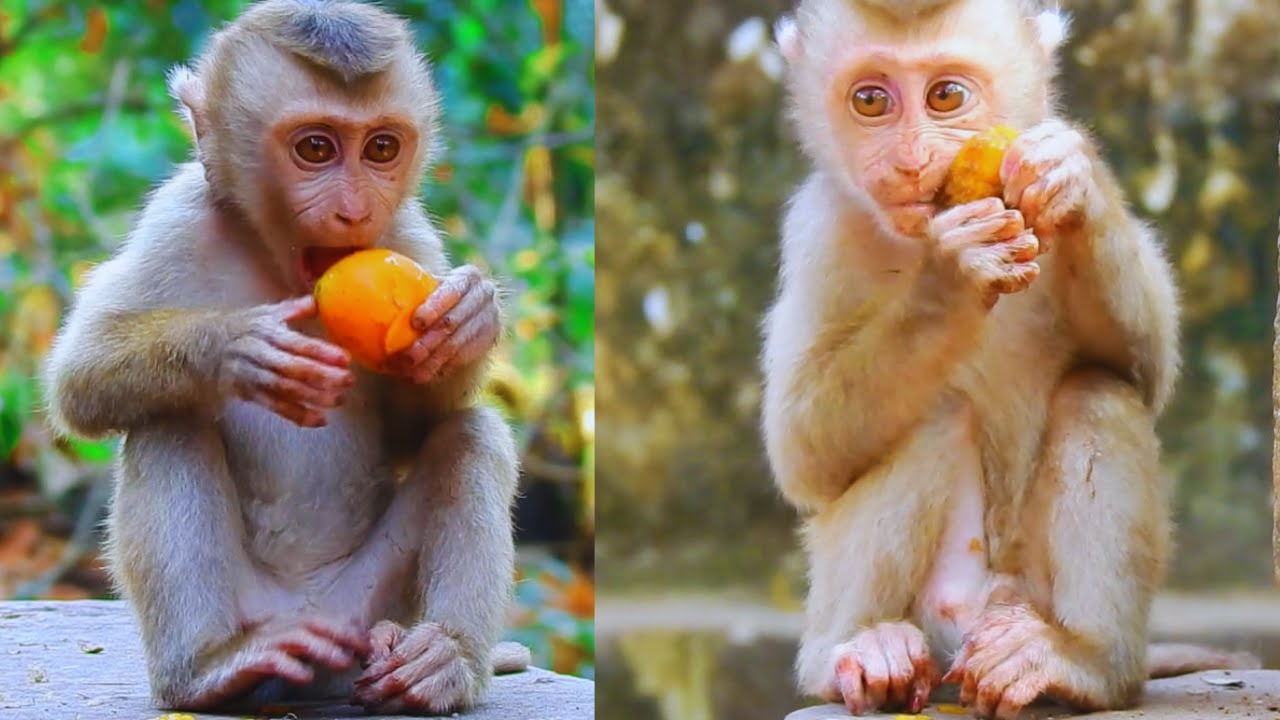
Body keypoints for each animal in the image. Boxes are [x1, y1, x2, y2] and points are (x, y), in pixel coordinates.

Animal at [42, 1, 531, 714]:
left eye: (382, 147)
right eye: (315, 149)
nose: (354, 210)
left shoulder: (407, 234)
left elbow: (417, 425)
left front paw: (468, 319)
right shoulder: (174, 216)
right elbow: (79, 375)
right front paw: (240, 348)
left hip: (370, 608)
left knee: (472, 436)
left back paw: (443, 661)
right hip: (255, 609)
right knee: (167, 423)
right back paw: (209, 669)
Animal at [760, 1, 1259, 718]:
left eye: (946, 95)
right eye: (870, 100)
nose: (911, 161)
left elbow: (1143, 366)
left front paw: (1071, 183)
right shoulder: (819, 231)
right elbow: (802, 453)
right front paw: (952, 274)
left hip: (1030, 601)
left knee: (1098, 391)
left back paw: (1082, 664)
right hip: (934, 614)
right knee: (928, 416)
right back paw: (861, 655)